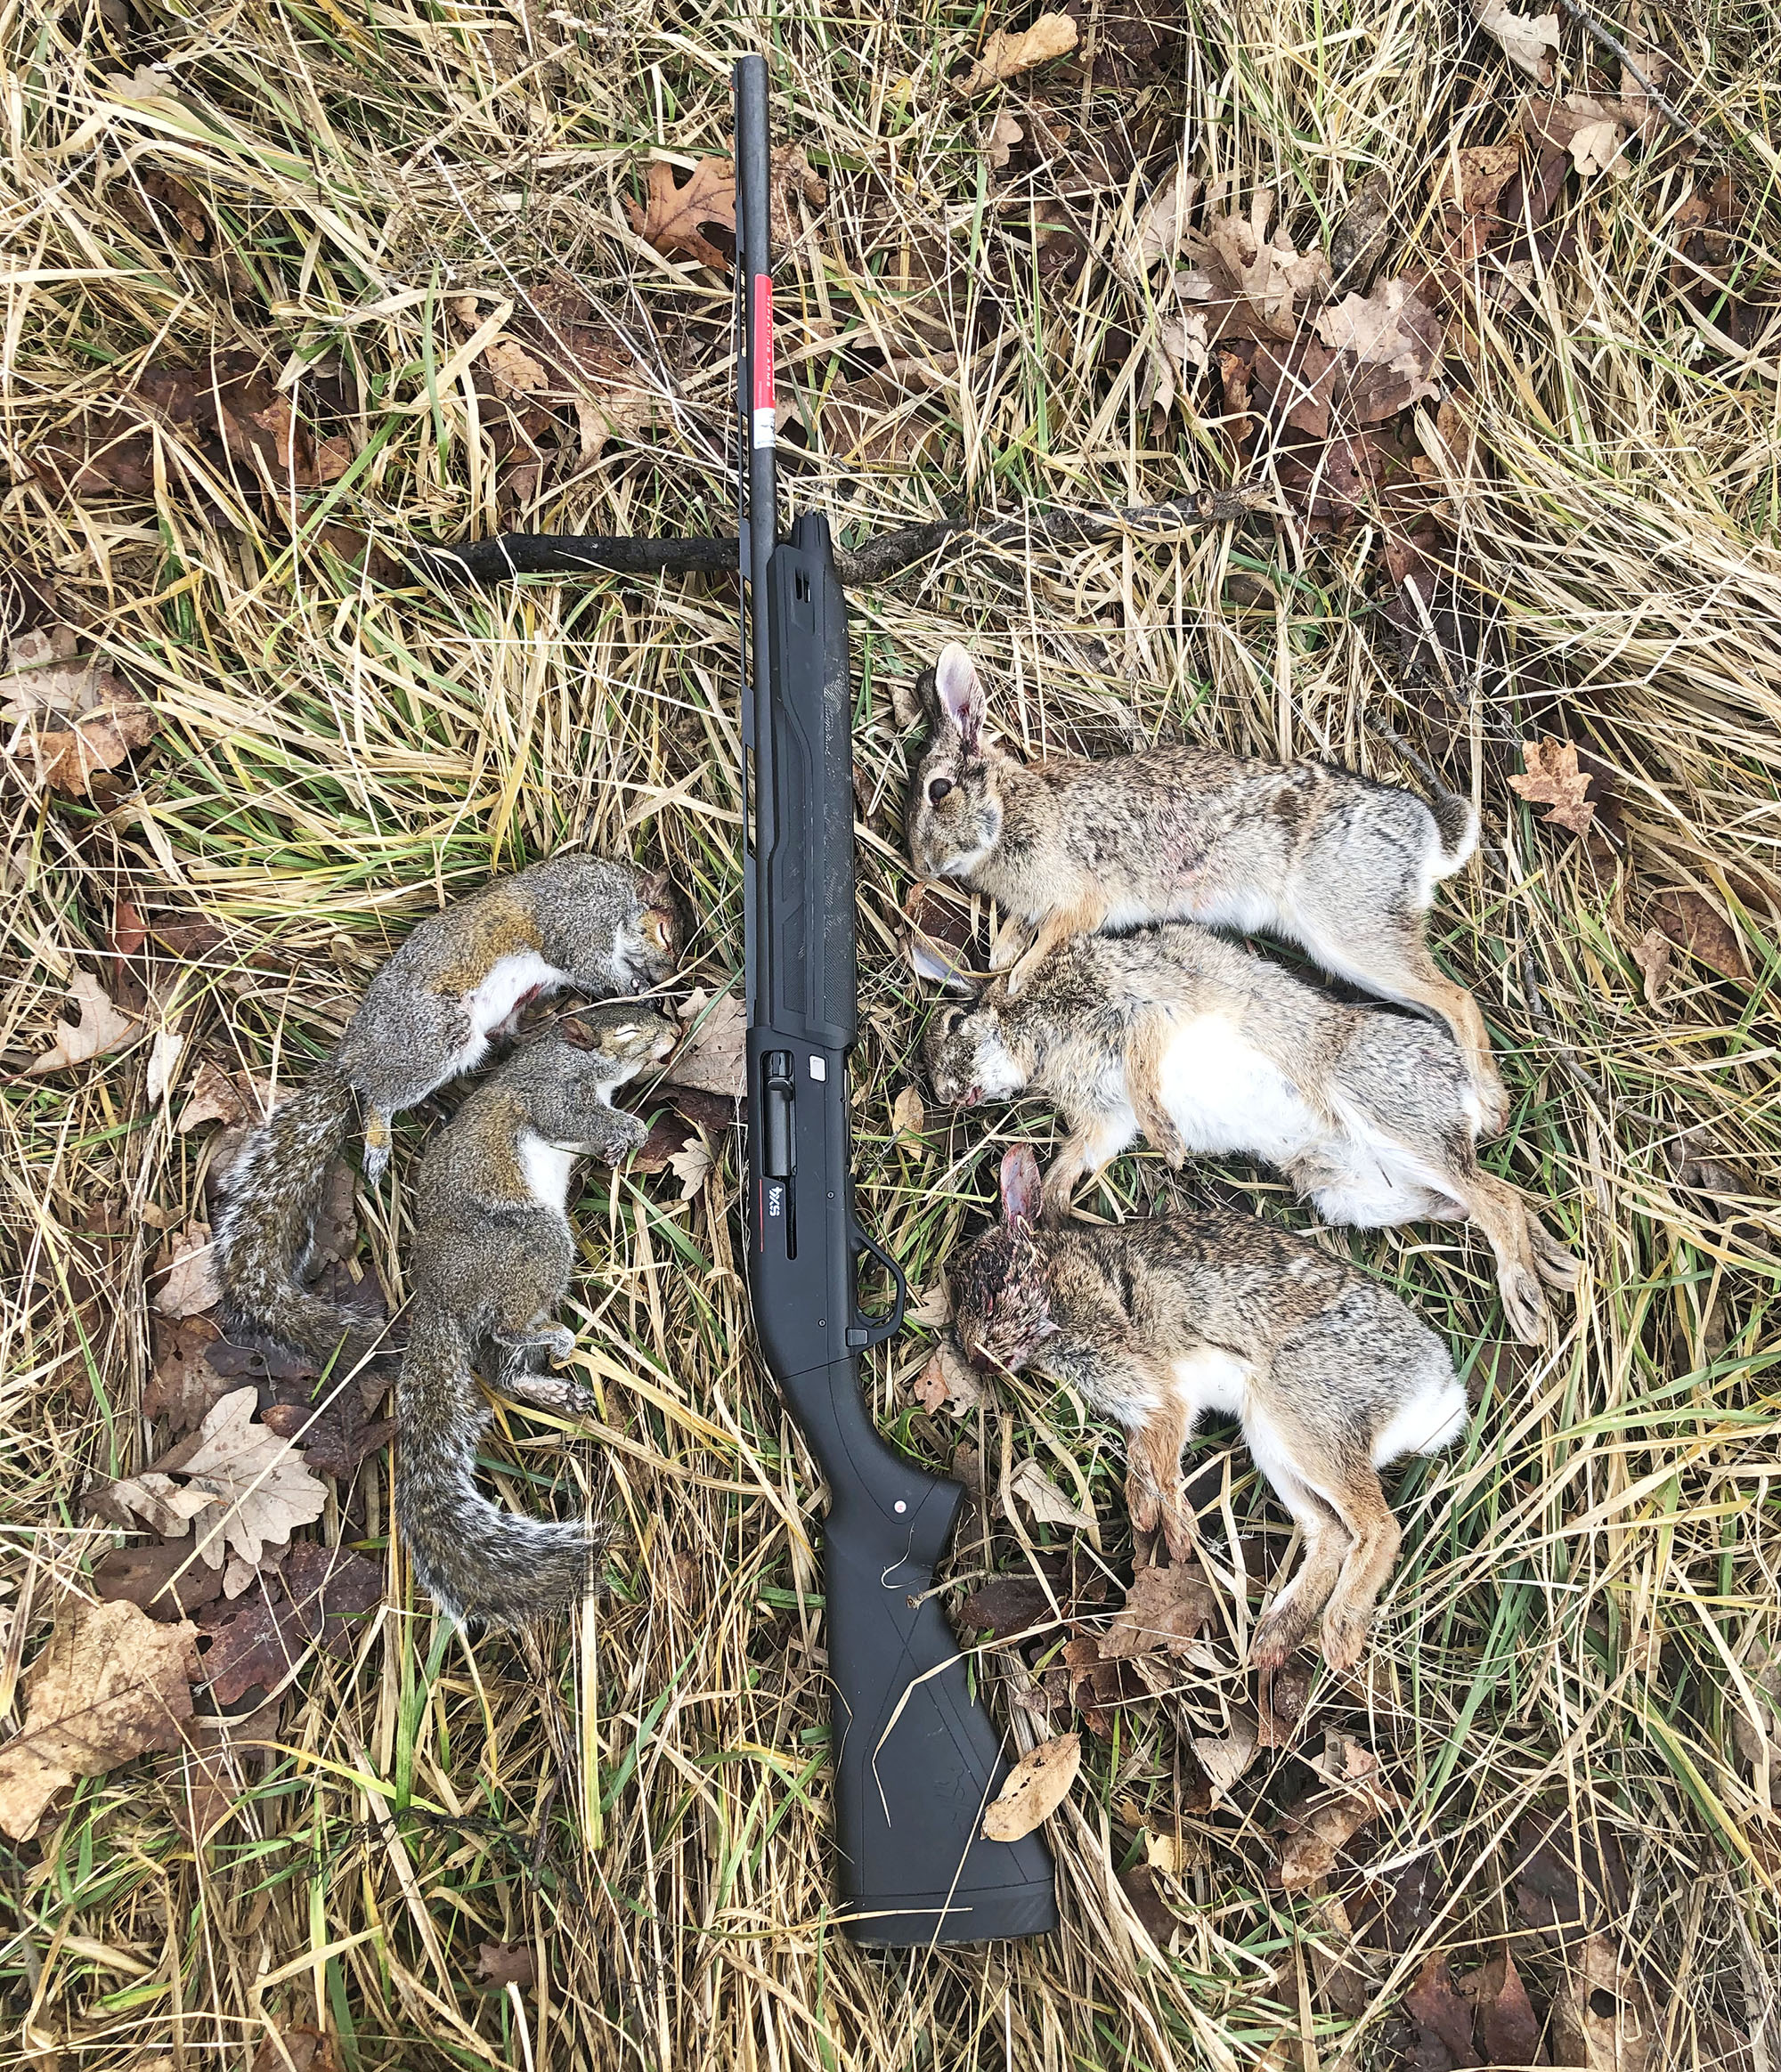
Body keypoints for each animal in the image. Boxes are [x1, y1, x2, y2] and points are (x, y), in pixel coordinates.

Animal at [213, 854, 681, 1370]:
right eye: (664, 930)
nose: (667, 974)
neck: (615, 891)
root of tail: (355, 1052)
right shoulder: (576, 919)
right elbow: (589, 968)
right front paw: (633, 989)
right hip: (440, 1037)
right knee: (377, 1096)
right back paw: (378, 1141)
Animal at [396, 1003, 679, 1627]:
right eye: (629, 1026)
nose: (672, 1031)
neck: (567, 1051)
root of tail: (439, 1296)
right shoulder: (550, 1092)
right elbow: (575, 1116)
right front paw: (629, 1132)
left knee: (502, 1369)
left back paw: (550, 1389)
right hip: (536, 1243)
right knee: (509, 1328)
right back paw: (552, 1337)